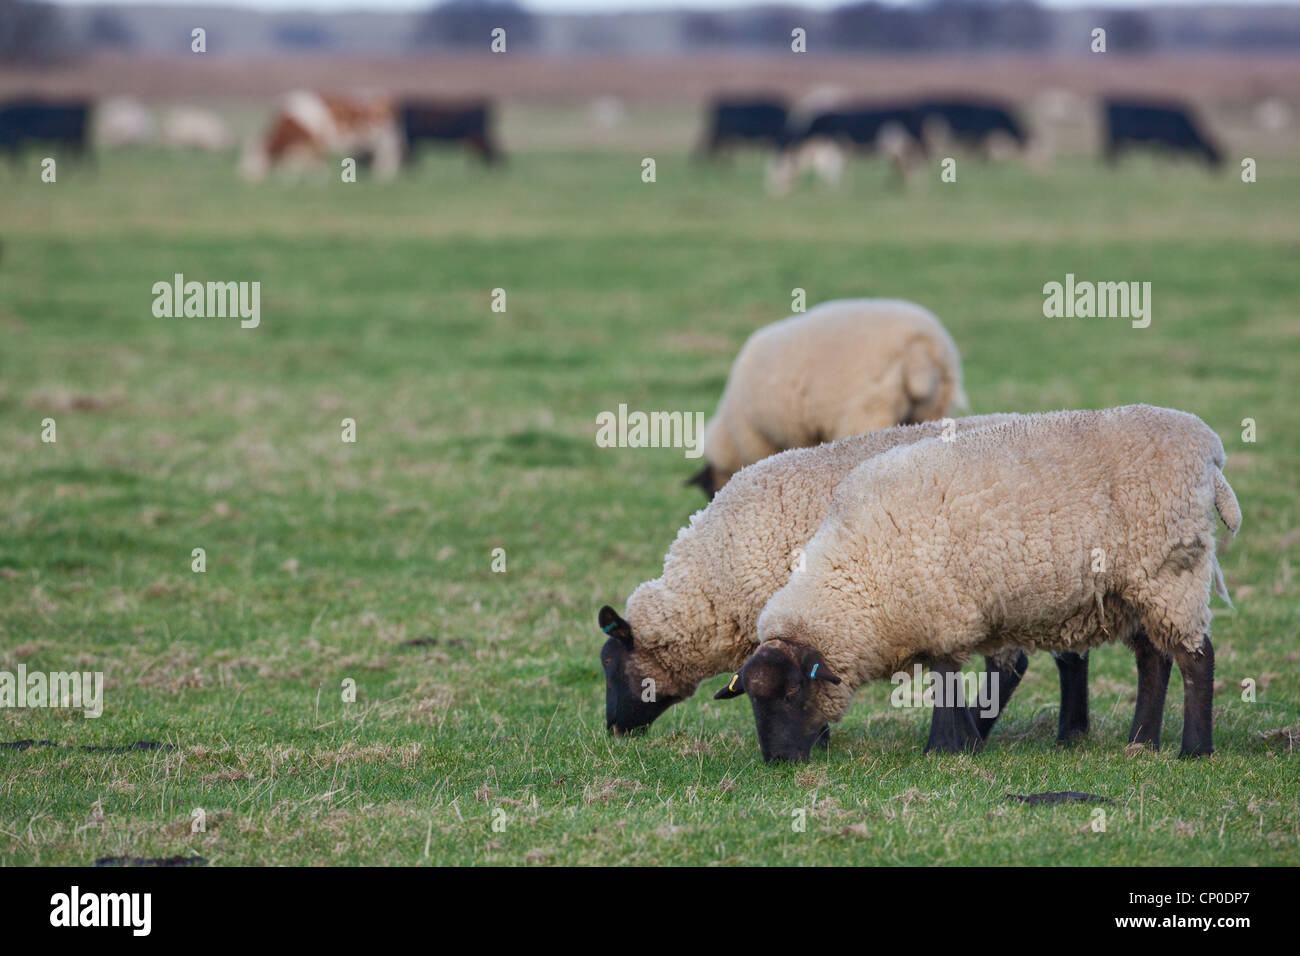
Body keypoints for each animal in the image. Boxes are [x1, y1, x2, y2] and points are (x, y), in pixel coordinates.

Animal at [601, 413, 1087, 746]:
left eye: (609, 663)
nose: (613, 729)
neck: (711, 588)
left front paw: (817, 739)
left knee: (1016, 666)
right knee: (1067, 655)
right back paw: (1070, 733)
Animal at [719, 405, 1241, 762]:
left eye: (793, 694)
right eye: (752, 700)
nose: (777, 761)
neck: (858, 576)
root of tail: (1209, 449)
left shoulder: (943, 612)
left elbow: (944, 680)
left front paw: (943, 748)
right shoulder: (941, 618)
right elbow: (949, 679)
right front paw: (966, 741)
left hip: (1170, 572)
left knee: (1197, 658)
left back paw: (1194, 749)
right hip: (1132, 590)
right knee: (1153, 657)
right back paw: (1142, 742)